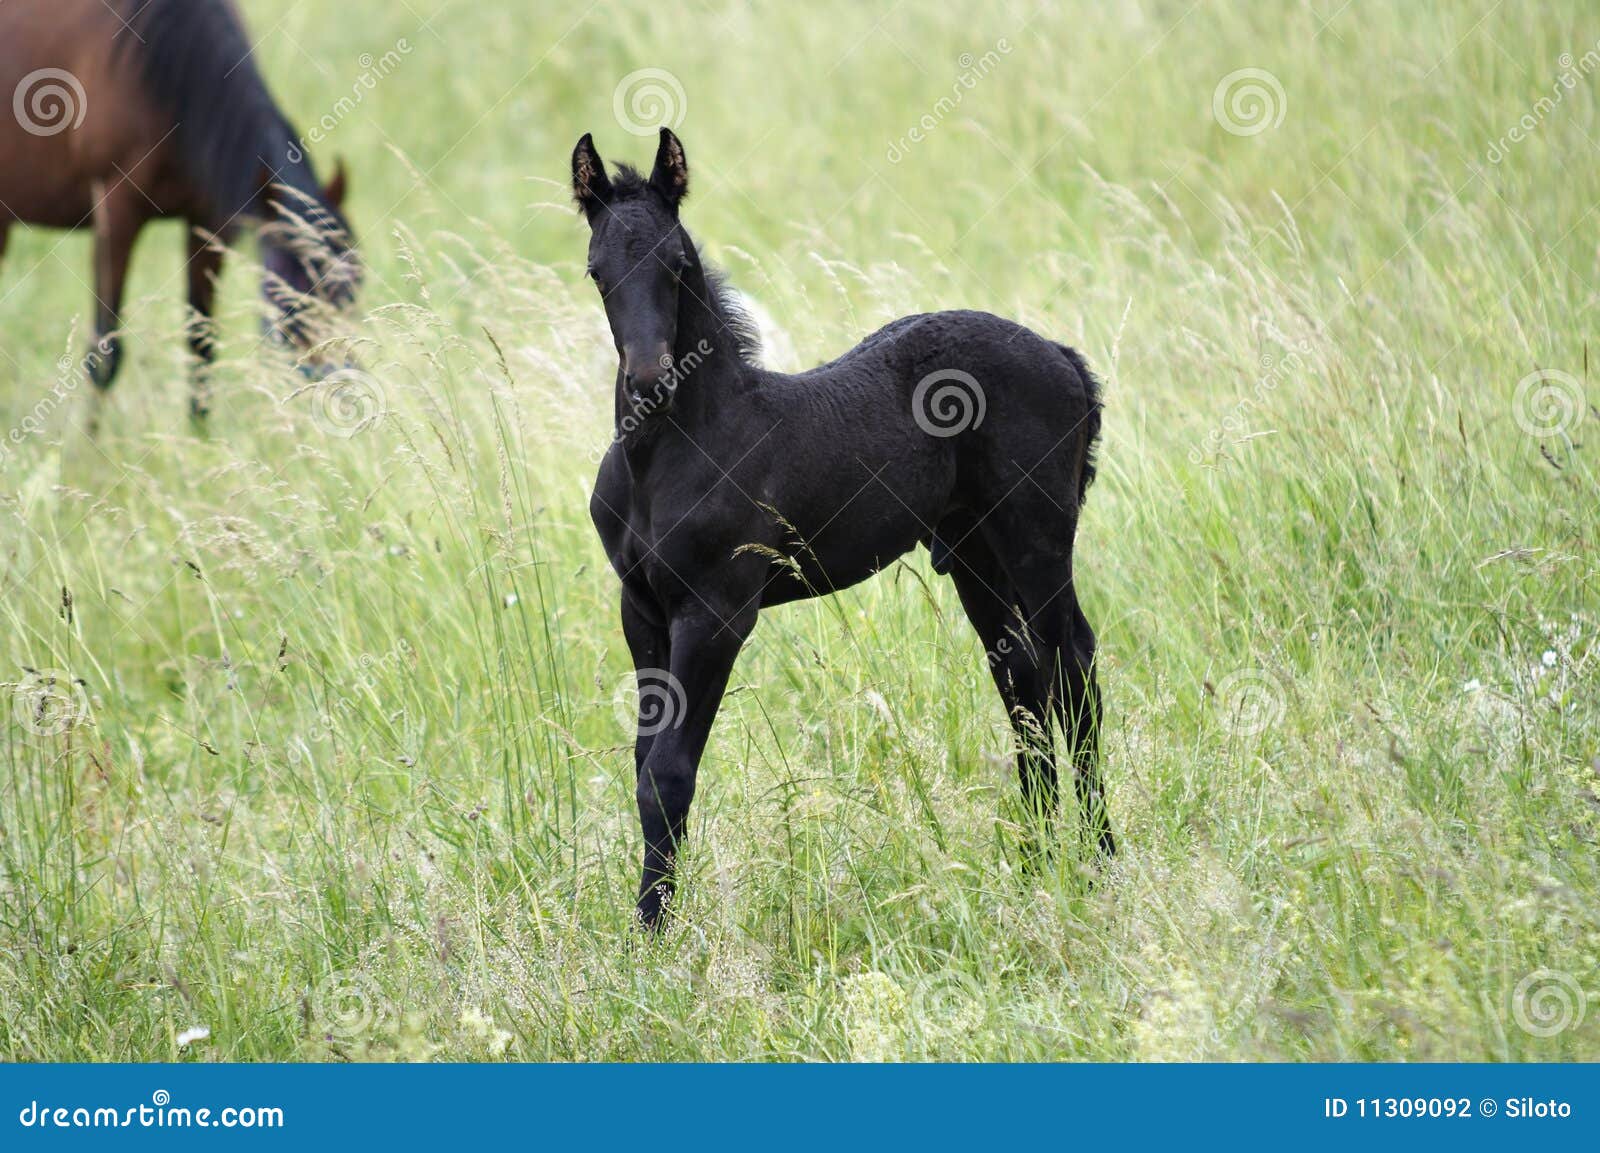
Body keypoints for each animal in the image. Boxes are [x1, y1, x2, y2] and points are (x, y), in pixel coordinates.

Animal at [0, 0, 359, 418]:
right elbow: (104, 354)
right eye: (287, 290)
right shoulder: (116, 214)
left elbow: (201, 347)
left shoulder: (207, 223)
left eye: (356, 286)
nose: (339, 382)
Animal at [576, 128, 1115, 930]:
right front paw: (644, 927)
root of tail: (1065, 358)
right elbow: (644, 769)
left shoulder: (716, 613)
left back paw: (1104, 864)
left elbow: (669, 774)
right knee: (1022, 678)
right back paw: (1032, 868)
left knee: (1074, 669)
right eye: (597, 271)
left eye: (677, 265)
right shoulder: (640, 608)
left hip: (1037, 537)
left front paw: (652, 938)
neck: (671, 451)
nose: (649, 381)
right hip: (976, 552)